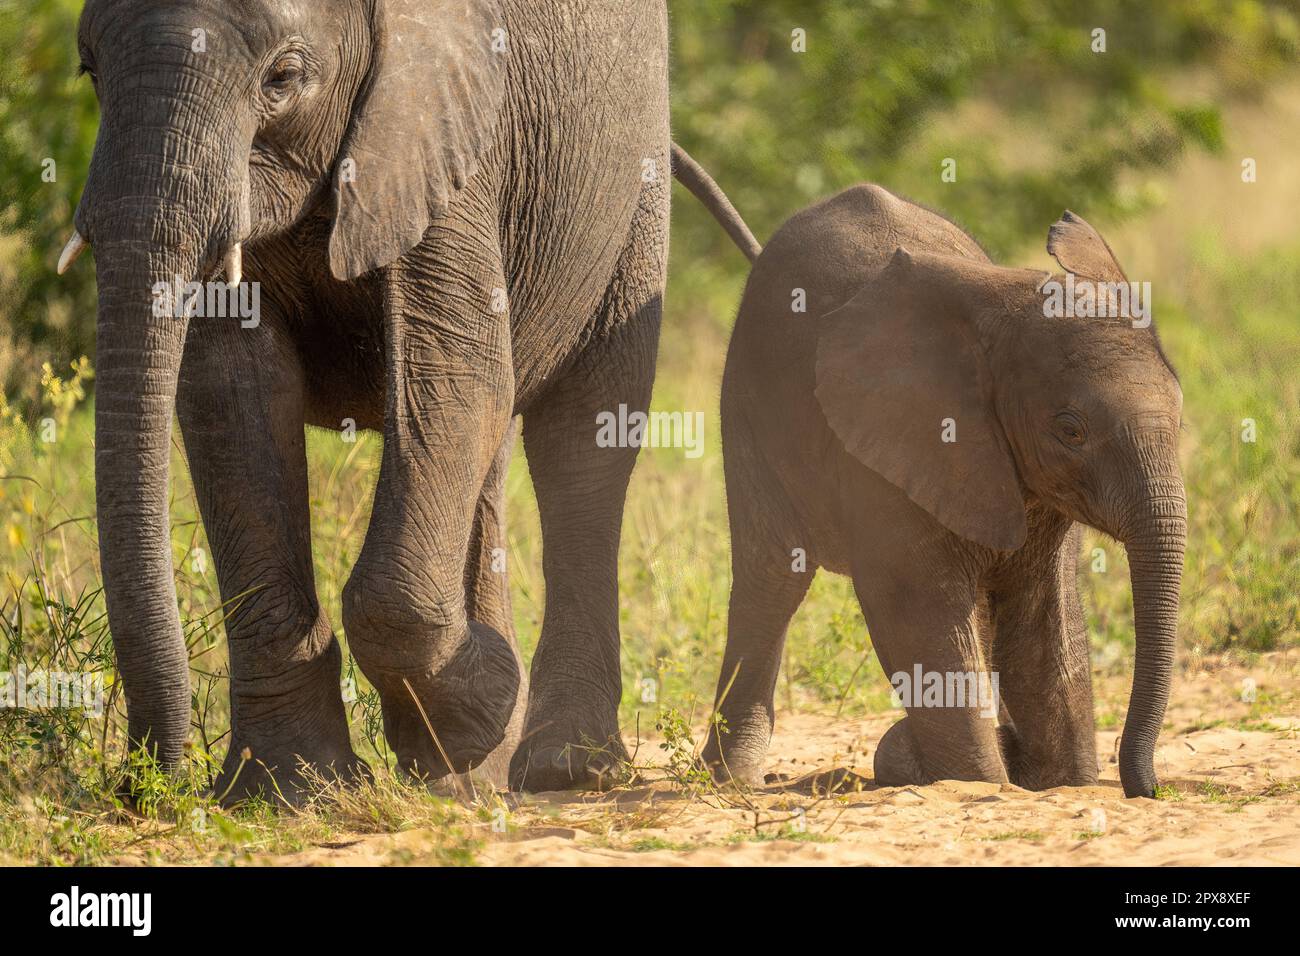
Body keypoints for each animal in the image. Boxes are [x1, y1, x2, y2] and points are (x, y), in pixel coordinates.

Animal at [58, 0, 757, 802]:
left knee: (581, 447)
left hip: (631, 196)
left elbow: (453, 371)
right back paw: (477, 778)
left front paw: (469, 714)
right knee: (494, 458)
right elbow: (232, 396)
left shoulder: (448, 137)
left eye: (283, 77)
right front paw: (287, 792)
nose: (140, 782)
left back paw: (559, 767)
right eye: (89, 71)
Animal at [701, 184, 1186, 799]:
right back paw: (732, 780)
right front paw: (981, 783)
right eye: (1070, 430)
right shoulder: (897, 439)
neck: (1008, 308)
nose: (1145, 788)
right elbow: (916, 608)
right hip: (746, 408)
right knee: (771, 579)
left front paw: (1059, 783)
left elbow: (1043, 611)